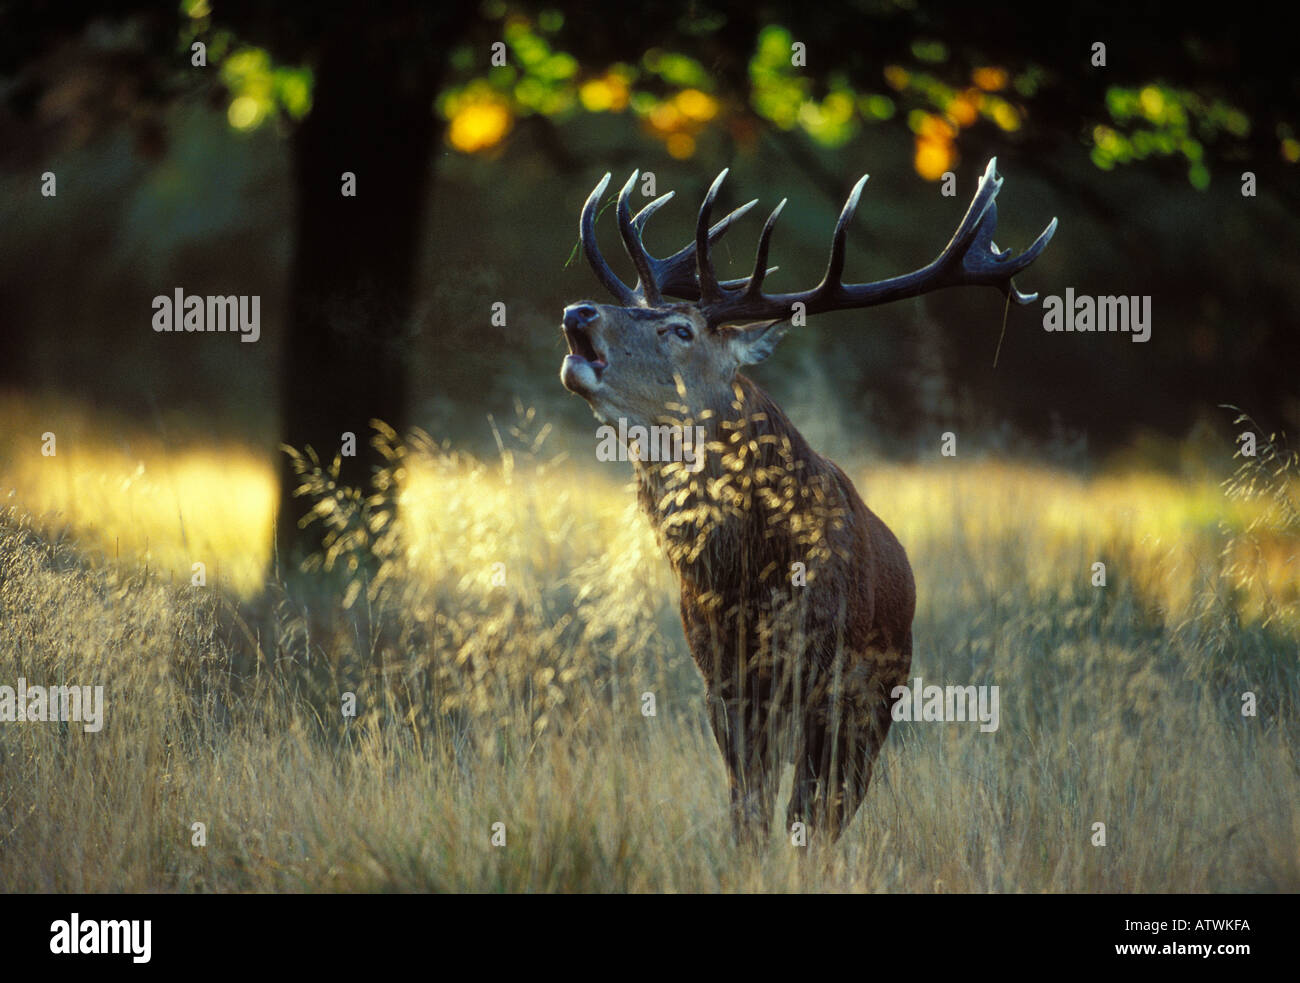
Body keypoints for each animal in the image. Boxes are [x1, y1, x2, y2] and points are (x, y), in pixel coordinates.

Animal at [559, 159, 1055, 843]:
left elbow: (807, 817)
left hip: (881, 694)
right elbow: (747, 813)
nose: (577, 311)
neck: (751, 576)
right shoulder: (721, 681)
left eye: (680, 329)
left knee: (833, 808)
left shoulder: (834, 683)